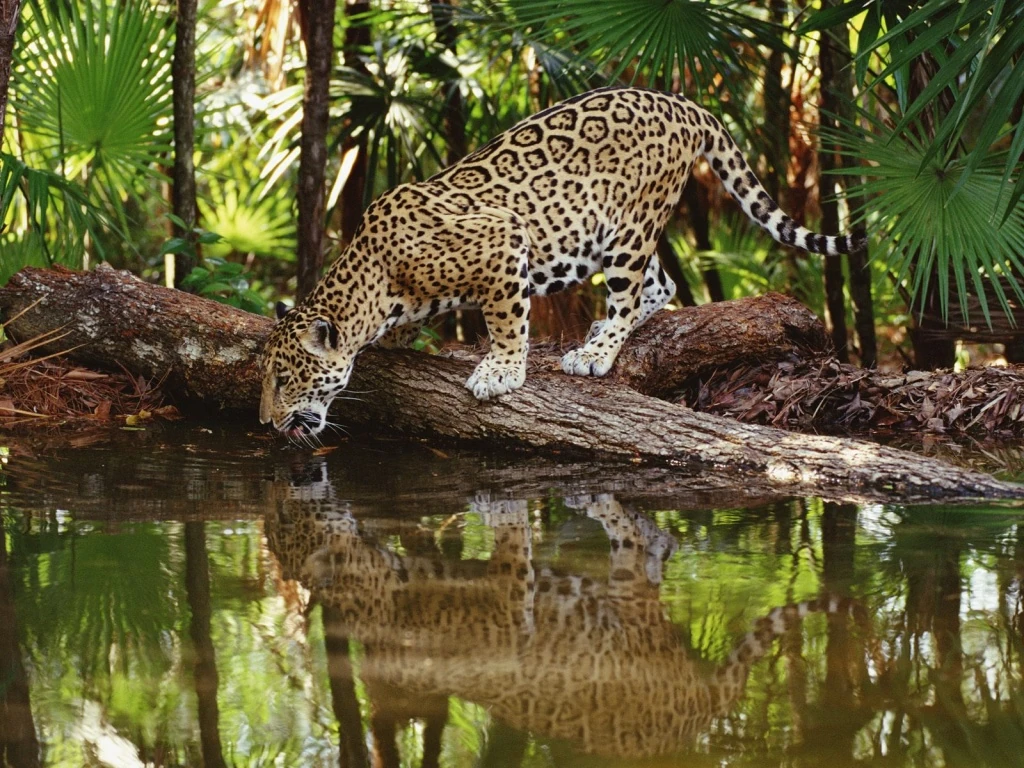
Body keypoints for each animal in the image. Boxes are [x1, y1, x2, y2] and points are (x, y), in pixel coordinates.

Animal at [260, 85, 866, 439]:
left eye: (286, 378)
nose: (266, 422)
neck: (374, 279)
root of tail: (682, 102)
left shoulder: (503, 239)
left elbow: (506, 320)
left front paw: (501, 371)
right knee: (663, 283)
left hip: (629, 227)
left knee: (631, 290)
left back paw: (596, 352)